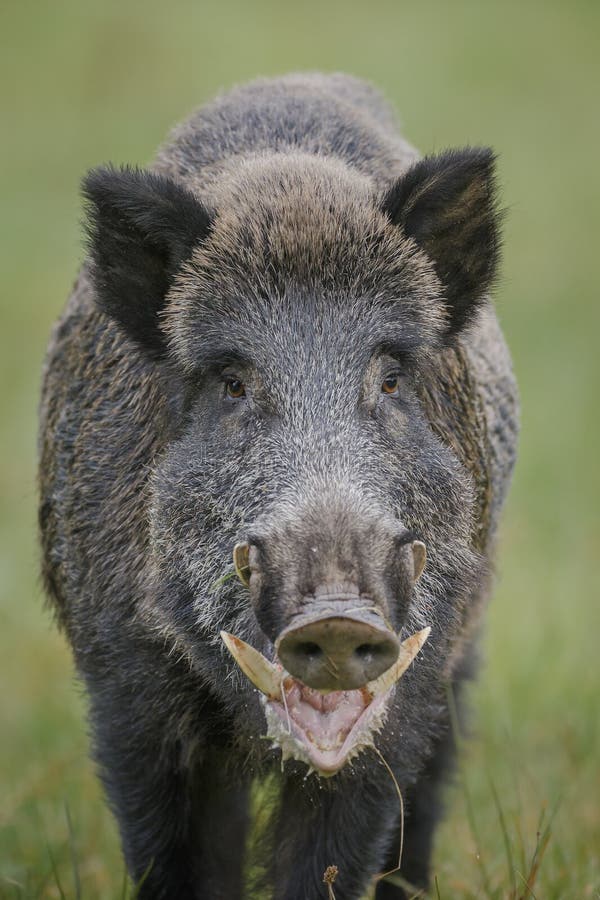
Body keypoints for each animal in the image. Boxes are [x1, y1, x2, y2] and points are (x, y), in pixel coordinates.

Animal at [39, 73, 519, 899]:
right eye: (232, 382)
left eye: (391, 377)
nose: (337, 617)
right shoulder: (125, 686)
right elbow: (178, 853)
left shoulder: (411, 687)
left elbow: (333, 855)